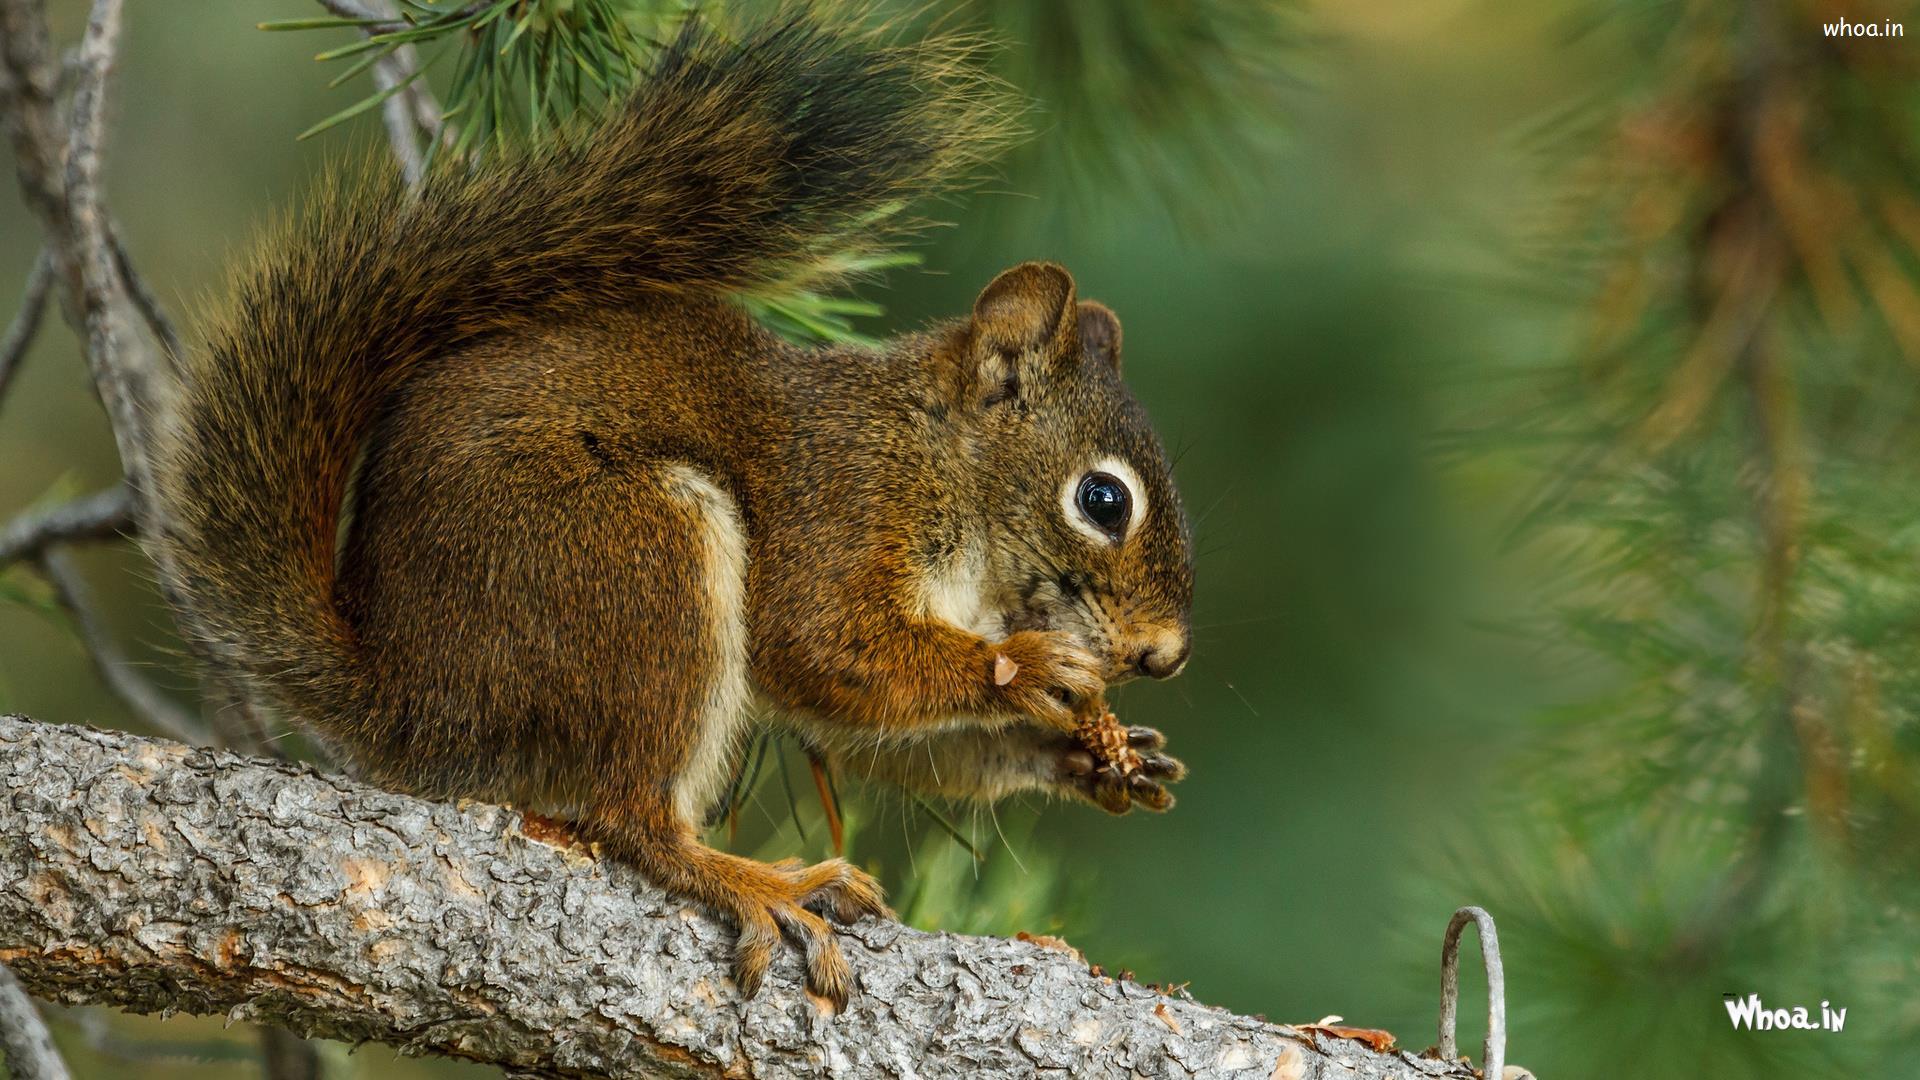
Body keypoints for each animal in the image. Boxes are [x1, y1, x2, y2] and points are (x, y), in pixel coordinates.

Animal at [149, 13, 1194, 1008]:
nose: (1165, 657)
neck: (945, 468)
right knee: (631, 817)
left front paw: (1097, 756)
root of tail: (410, 696)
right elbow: (824, 648)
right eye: (1103, 499)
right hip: (635, 562)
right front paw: (1029, 668)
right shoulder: (843, 504)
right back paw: (763, 884)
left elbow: (885, 735)